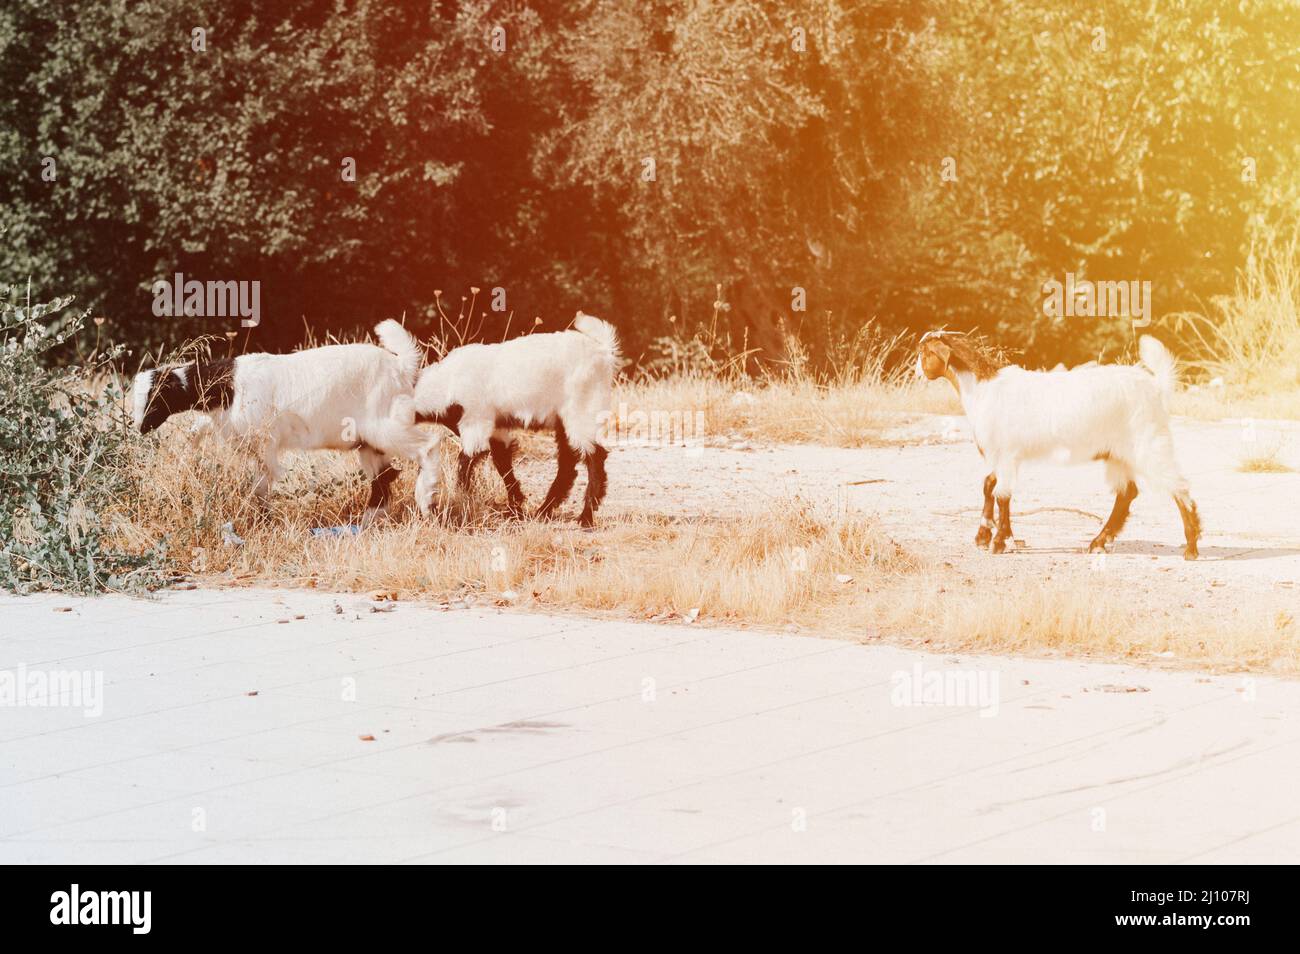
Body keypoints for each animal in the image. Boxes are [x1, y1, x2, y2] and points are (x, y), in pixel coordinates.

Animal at [131, 320, 438, 518]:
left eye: (155, 398)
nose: (140, 428)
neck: (228, 385)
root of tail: (401, 366)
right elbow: (199, 429)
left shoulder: (263, 443)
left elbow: (262, 484)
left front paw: (262, 519)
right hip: (368, 441)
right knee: (384, 478)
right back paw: (369, 521)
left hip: (383, 426)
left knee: (427, 446)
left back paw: (425, 499)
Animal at [411, 311, 620, 527]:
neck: (447, 382)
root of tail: (603, 350)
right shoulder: (496, 428)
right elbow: (502, 462)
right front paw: (515, 507)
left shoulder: (476, 421)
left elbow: (465, 462)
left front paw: (463, 498)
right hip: (565, 420)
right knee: (568, 463)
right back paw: (543, 511)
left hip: (584, 410)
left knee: (595, 457)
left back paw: (585, 517)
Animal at [917, 331, 1200, 559]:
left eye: (924, 352)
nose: (918, 373)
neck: (983, 388)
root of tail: (1156, 386)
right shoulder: (1000, 456)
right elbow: (989, 486)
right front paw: (985, 537)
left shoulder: (1006, 454)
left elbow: (1002, 495)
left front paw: (998, 542)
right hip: (1118, 453)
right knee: (1127, 493)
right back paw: (1099, 542)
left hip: (1149, 443)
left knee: (1178, 486)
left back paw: (1191, 547)